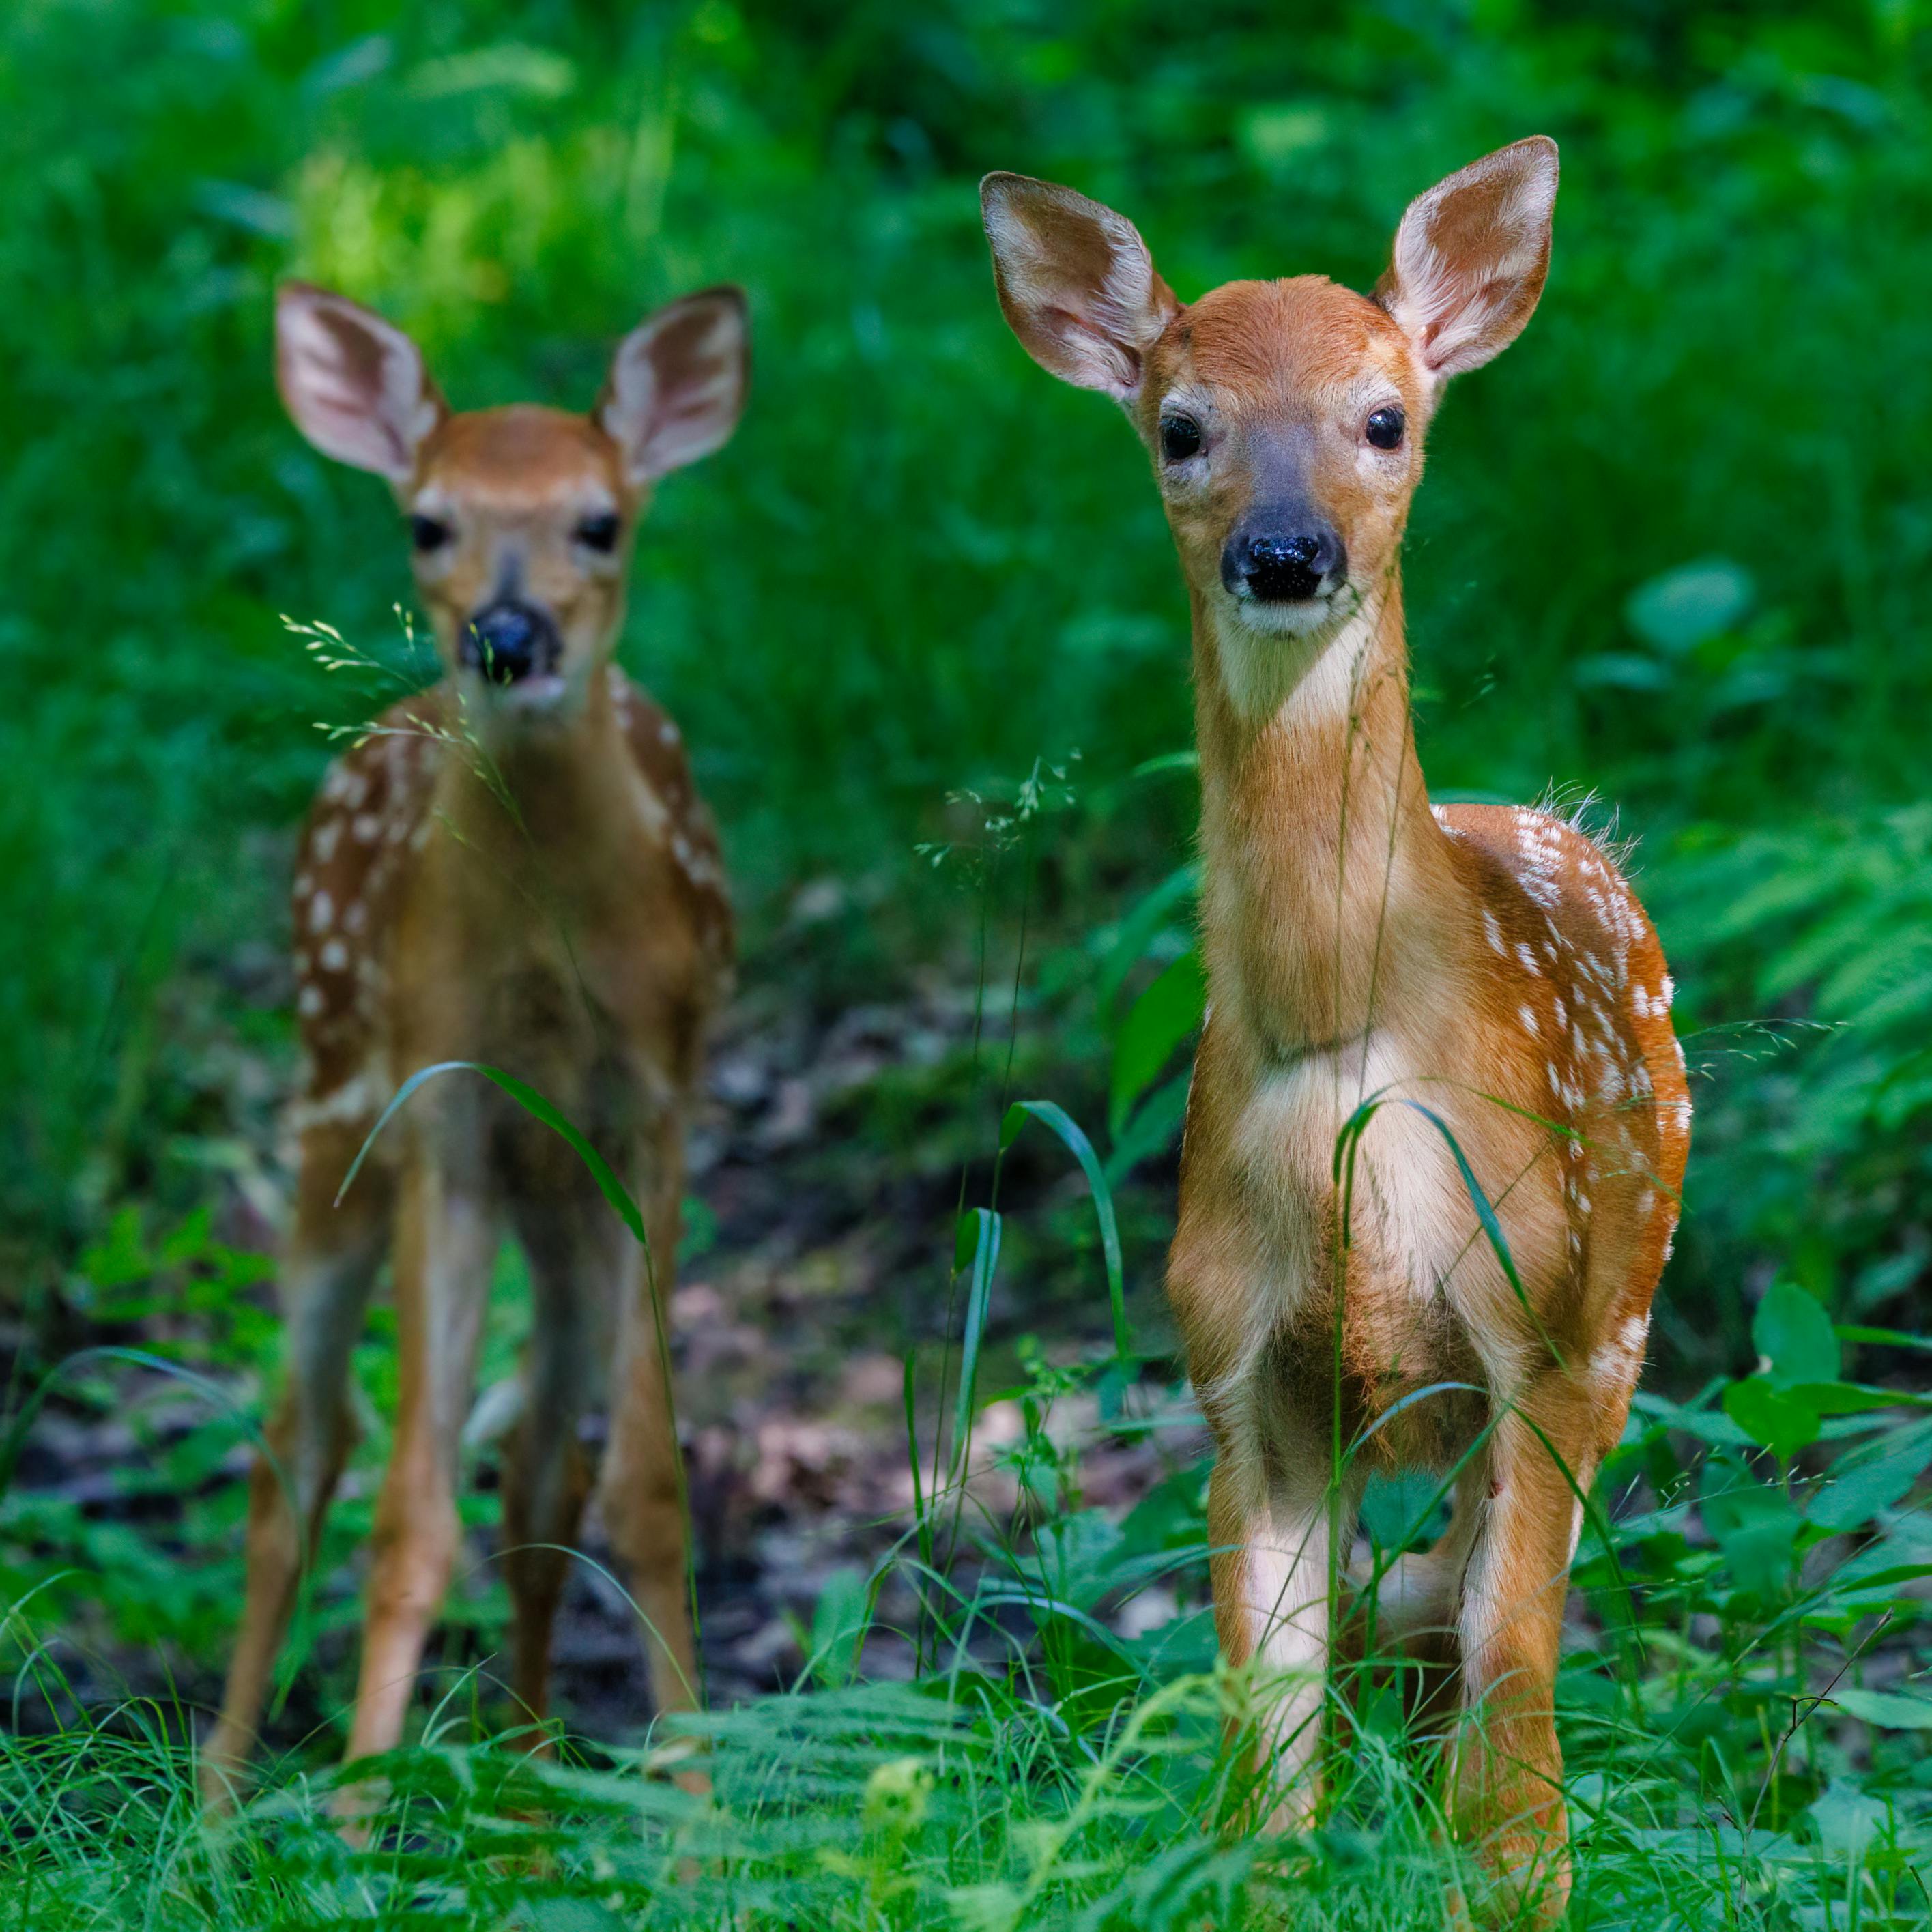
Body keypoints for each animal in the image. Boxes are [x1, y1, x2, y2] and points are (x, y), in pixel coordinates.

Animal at [199, 281, 745, 1809]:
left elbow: (641, 1491)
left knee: (536, 1480)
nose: (507, 635)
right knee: (298, 1452)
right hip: (336, 1118)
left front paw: (698, 1822)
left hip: (554, 1204)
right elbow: (406, 1512)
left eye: (601, 521)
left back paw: (527, 1791)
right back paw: (217, 1807)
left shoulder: (655, 1110)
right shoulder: (437, 1111)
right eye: (427, 522)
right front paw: (355, 1818)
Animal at [982, 139, 1689, 1922]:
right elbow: (1265, 1709)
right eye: (1179, 425)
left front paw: (1511, 1878)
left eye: (1384, 416)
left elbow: (1512, 1660)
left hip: (1624, 1309)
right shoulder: (1236, 1359)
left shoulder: (1538, 1317)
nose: (1287, 551)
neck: (1337, 1057)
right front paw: (1273, 1875)